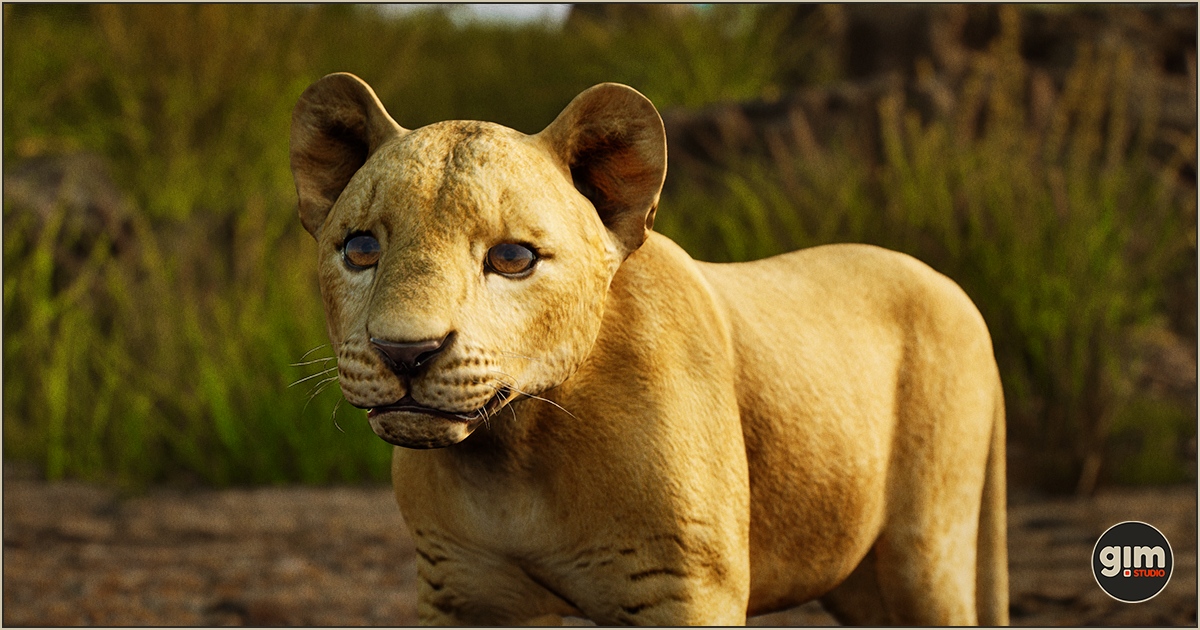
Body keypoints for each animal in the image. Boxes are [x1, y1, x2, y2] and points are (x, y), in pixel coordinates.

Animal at [289, 73, 1008, 626]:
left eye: (513, 258)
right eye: (360, 249)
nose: (404, 352)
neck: (515, 457)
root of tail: (952, 287)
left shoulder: (685, 588)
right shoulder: (464, 592)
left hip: (926, 554)